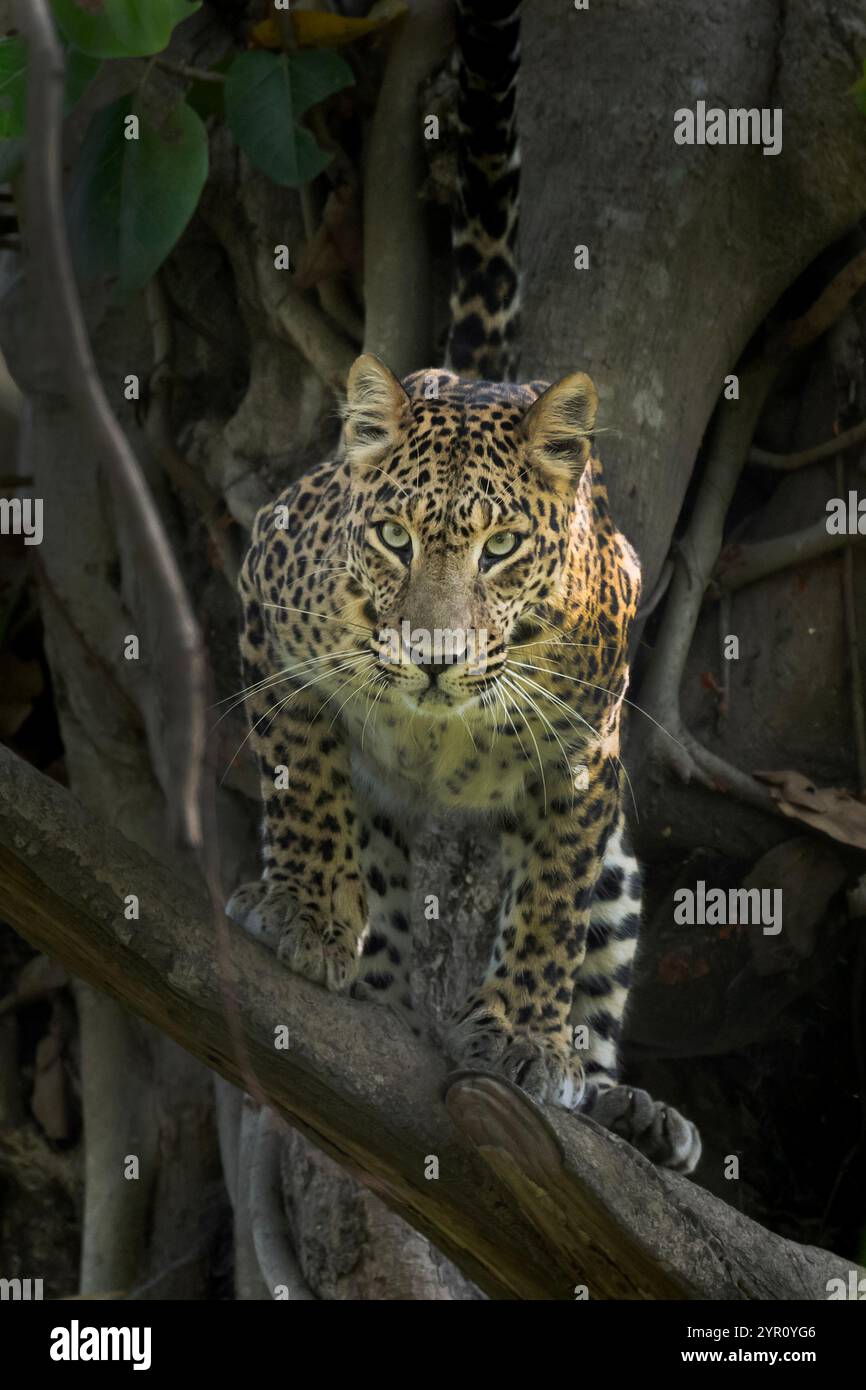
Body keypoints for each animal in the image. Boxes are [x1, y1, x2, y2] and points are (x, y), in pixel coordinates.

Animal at [227, 0, 700, 1174]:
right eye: (395, 538)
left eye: (500, 551)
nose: (433, 661)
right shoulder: (271, 604)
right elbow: (305, 780)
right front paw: (308, 912)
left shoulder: (586, 754)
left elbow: (549, 907)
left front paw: (527, 1038)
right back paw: (378, 979)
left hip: (623, 872)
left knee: (593, 955)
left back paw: (621, 1102)